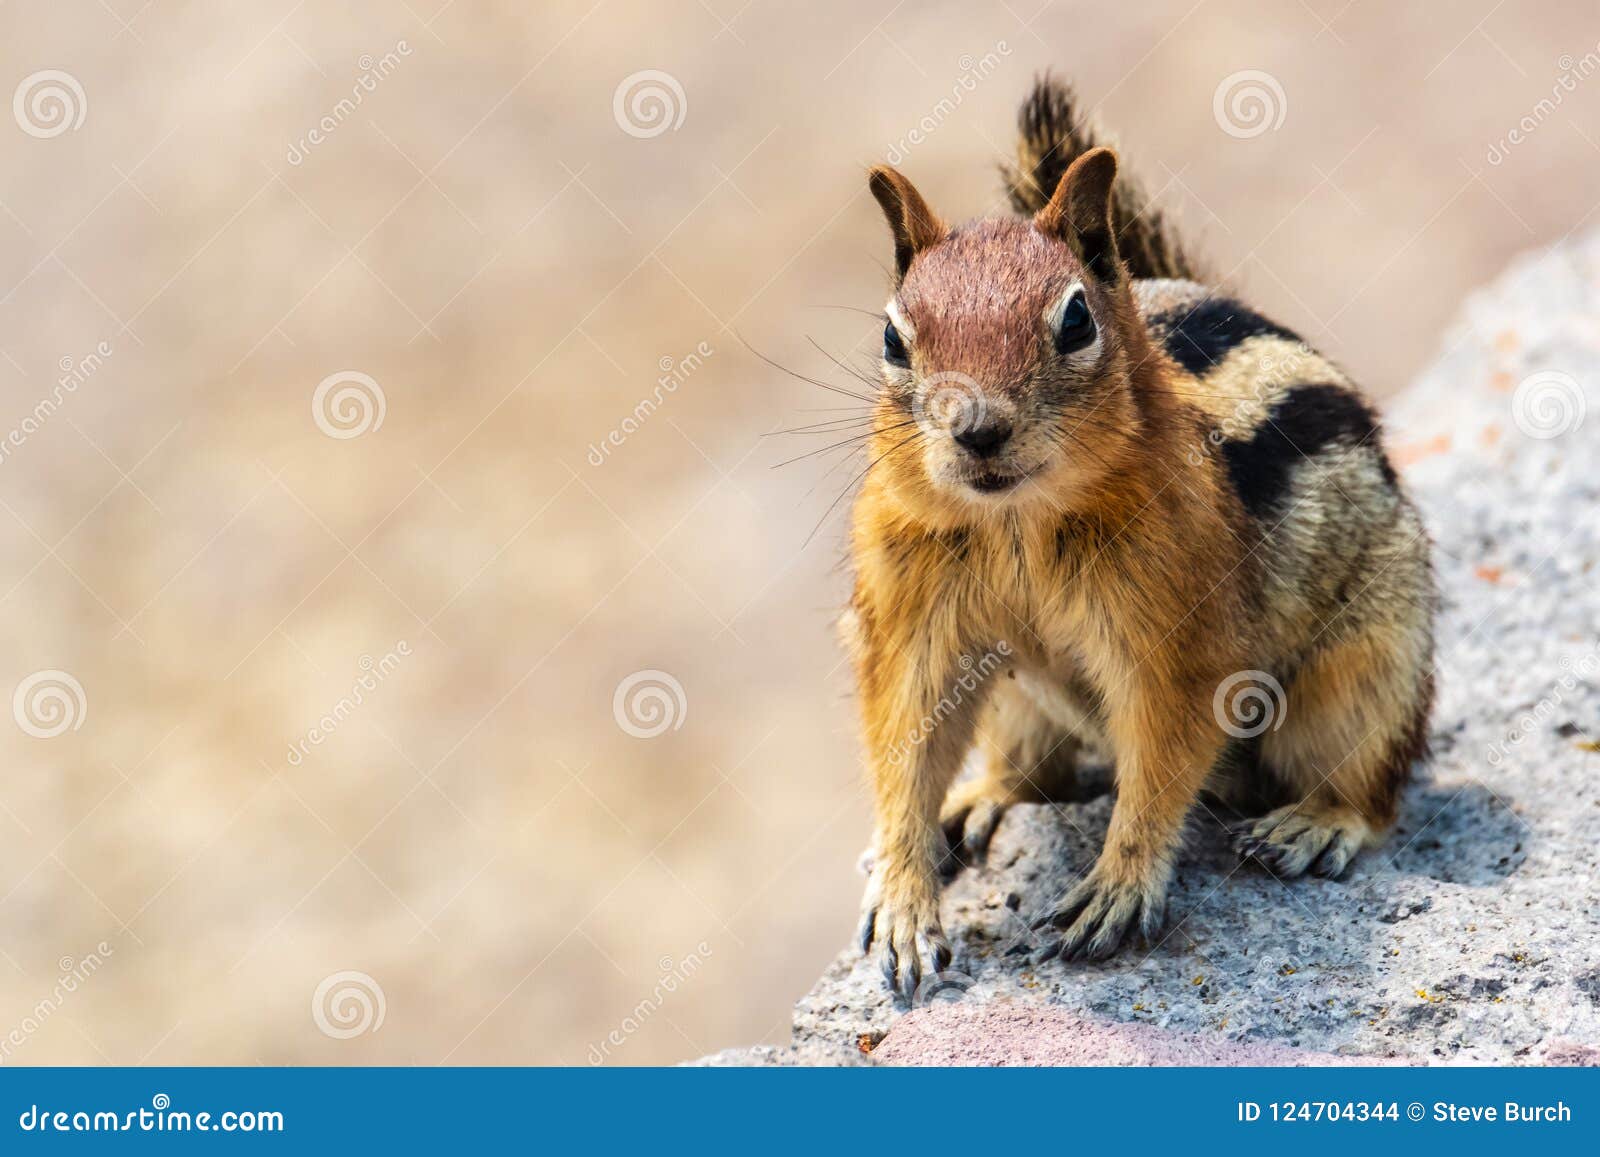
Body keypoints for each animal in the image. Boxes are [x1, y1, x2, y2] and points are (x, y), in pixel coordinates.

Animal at [844, 77, 1435, 1001]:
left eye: (1076, 321)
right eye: (891, 338)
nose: (977, 429)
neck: (1016, 521)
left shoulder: (1180, 638)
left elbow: (1160, 759)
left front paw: (1118, 886)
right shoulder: (913, 619)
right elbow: (906, 737)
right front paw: (904, 898)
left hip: (1368, 667)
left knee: (1372, 785)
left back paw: (1312, 823)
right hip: (1017, 700)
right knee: (1036, 774)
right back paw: (980, 798)